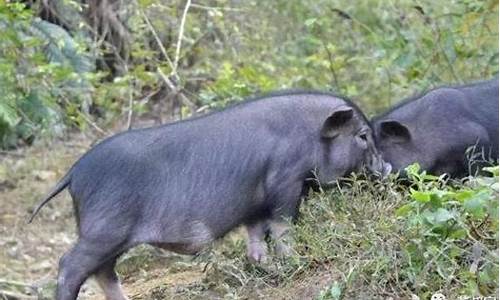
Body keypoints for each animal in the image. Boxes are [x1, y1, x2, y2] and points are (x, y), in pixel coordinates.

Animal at [29, 90, 390, 298]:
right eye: (362, 136)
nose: (386, 168)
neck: (308, 136)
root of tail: (74, 173)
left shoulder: (255, 204)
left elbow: (256, 239)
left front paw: (269, 269)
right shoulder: (285, 183)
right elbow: (283, 228)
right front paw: (296, 261)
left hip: (112, 237)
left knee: (103, 272)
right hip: (105, 228)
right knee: (70, 265)